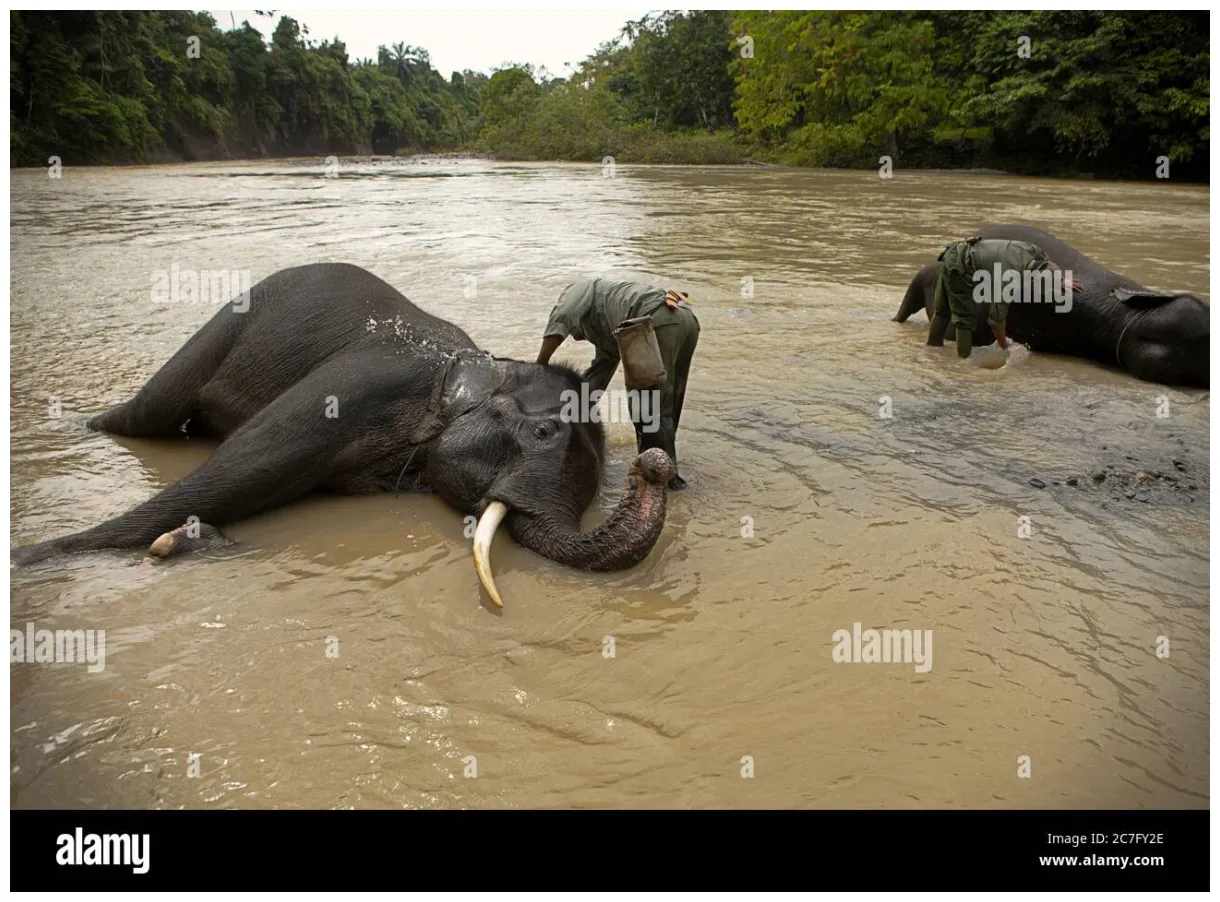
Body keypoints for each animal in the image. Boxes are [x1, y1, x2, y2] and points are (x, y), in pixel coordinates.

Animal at [10, 263, 676, 608]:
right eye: (541, 431)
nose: (655, 465)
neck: (477, 365)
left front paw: (182, 543)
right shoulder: (361, 384)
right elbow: (236, 470)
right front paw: (30, 558)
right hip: (223, 326)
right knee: (146, 416)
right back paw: (78, 425)